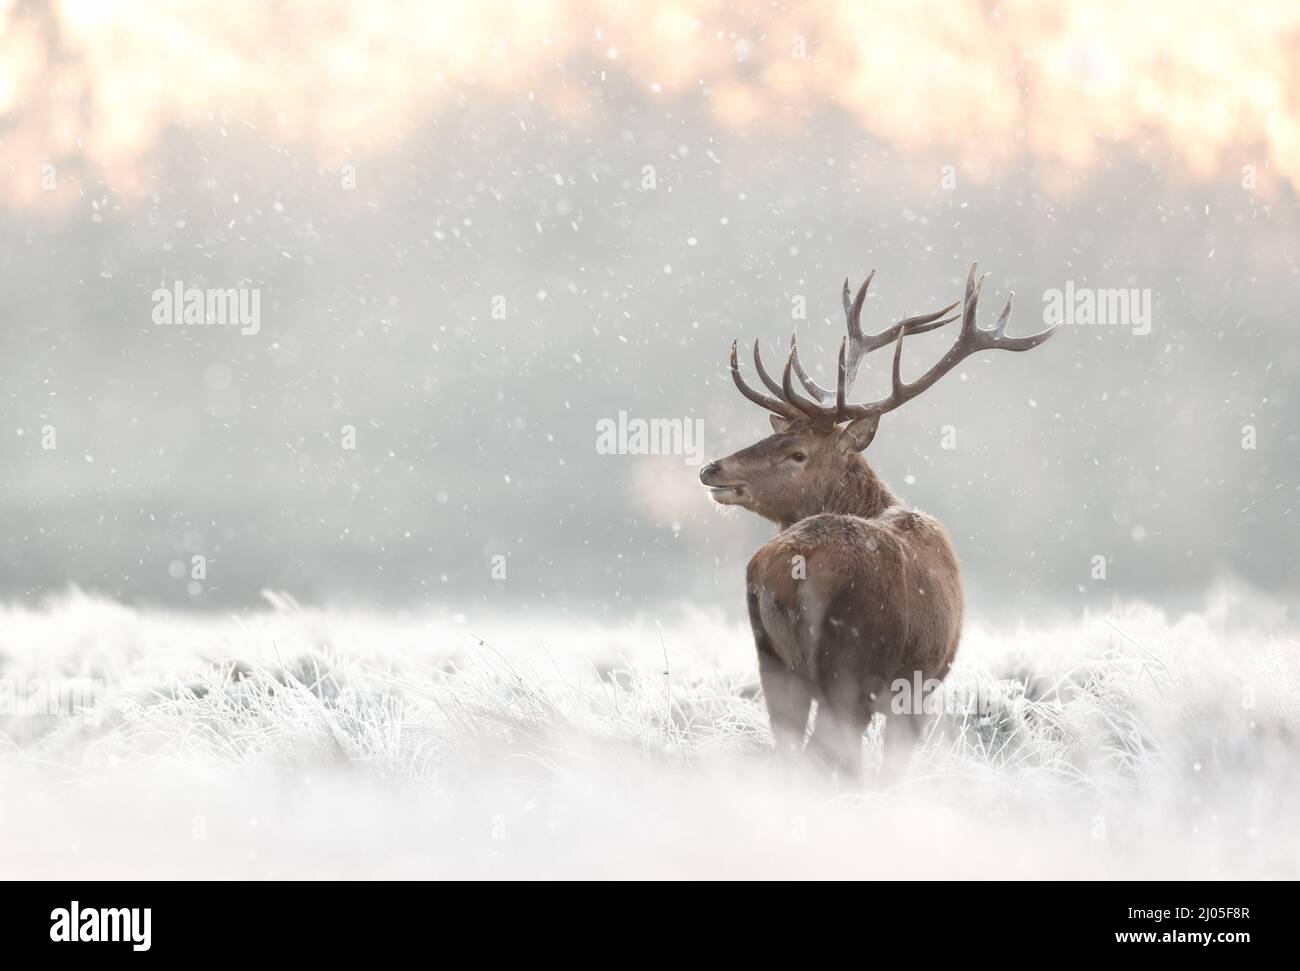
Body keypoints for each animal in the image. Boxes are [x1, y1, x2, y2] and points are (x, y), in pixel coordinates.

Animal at [699, 264, 1056, 786]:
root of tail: (791, 571)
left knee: (789, 749)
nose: (712, 469)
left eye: (796, 452)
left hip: (773, 658)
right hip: (851, 665)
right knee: (829, 756)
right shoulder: (919, 686)